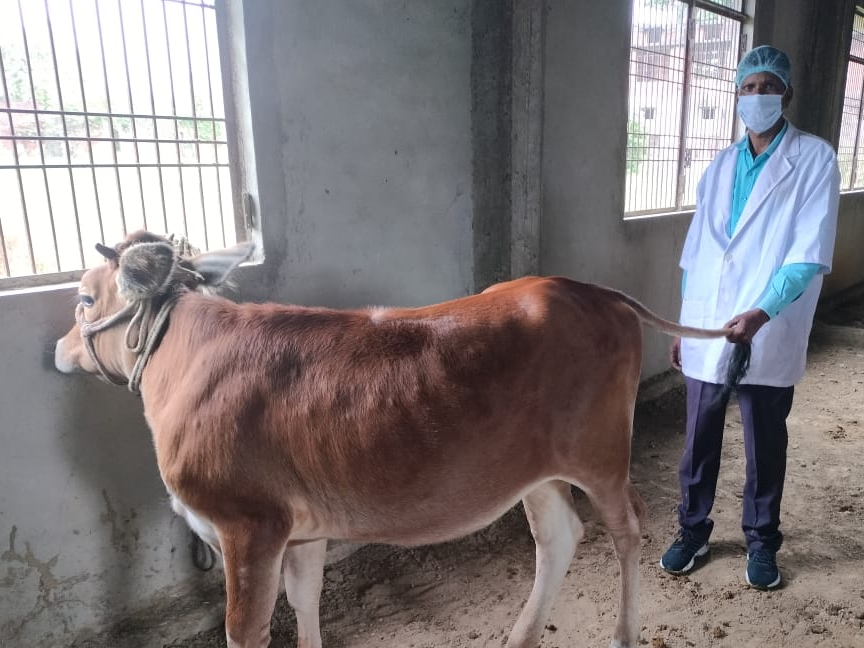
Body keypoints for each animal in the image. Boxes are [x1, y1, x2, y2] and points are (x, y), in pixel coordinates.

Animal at [54, 230, 736, 648]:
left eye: (84, 298)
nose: (58, 350)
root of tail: (591, 289)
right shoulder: (300, 527)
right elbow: (305, 600)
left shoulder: (247, 525)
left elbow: (245, 630)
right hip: (537, 470)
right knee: (560, 535)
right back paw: (521, 635)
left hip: (601, 456)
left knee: (628, 529)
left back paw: (622, 632)